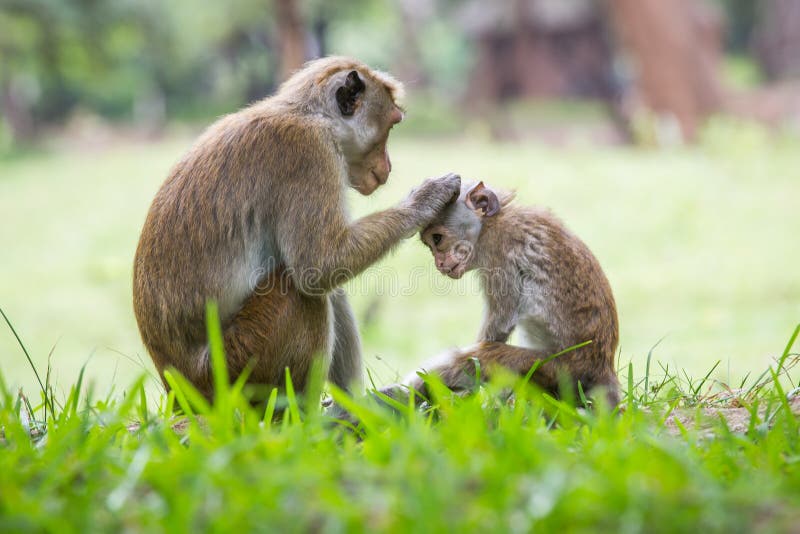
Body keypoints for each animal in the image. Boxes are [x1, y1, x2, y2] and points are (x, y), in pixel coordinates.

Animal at [133, 56, 462, 401]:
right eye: (391, 125)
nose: (387, 167)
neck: (311, 116)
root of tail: (180, 390)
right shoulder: (309, 155)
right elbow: (319, 264)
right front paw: (425, 200)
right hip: (239, 366)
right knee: (301, 290)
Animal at [400, 180, 620, 407]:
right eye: (430, 244)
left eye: (437, 238)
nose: (439, 264)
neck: (491, 224)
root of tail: (602, 369)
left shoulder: (498, 254)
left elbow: (501, 320)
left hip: (557, 368)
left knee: (477, 359)